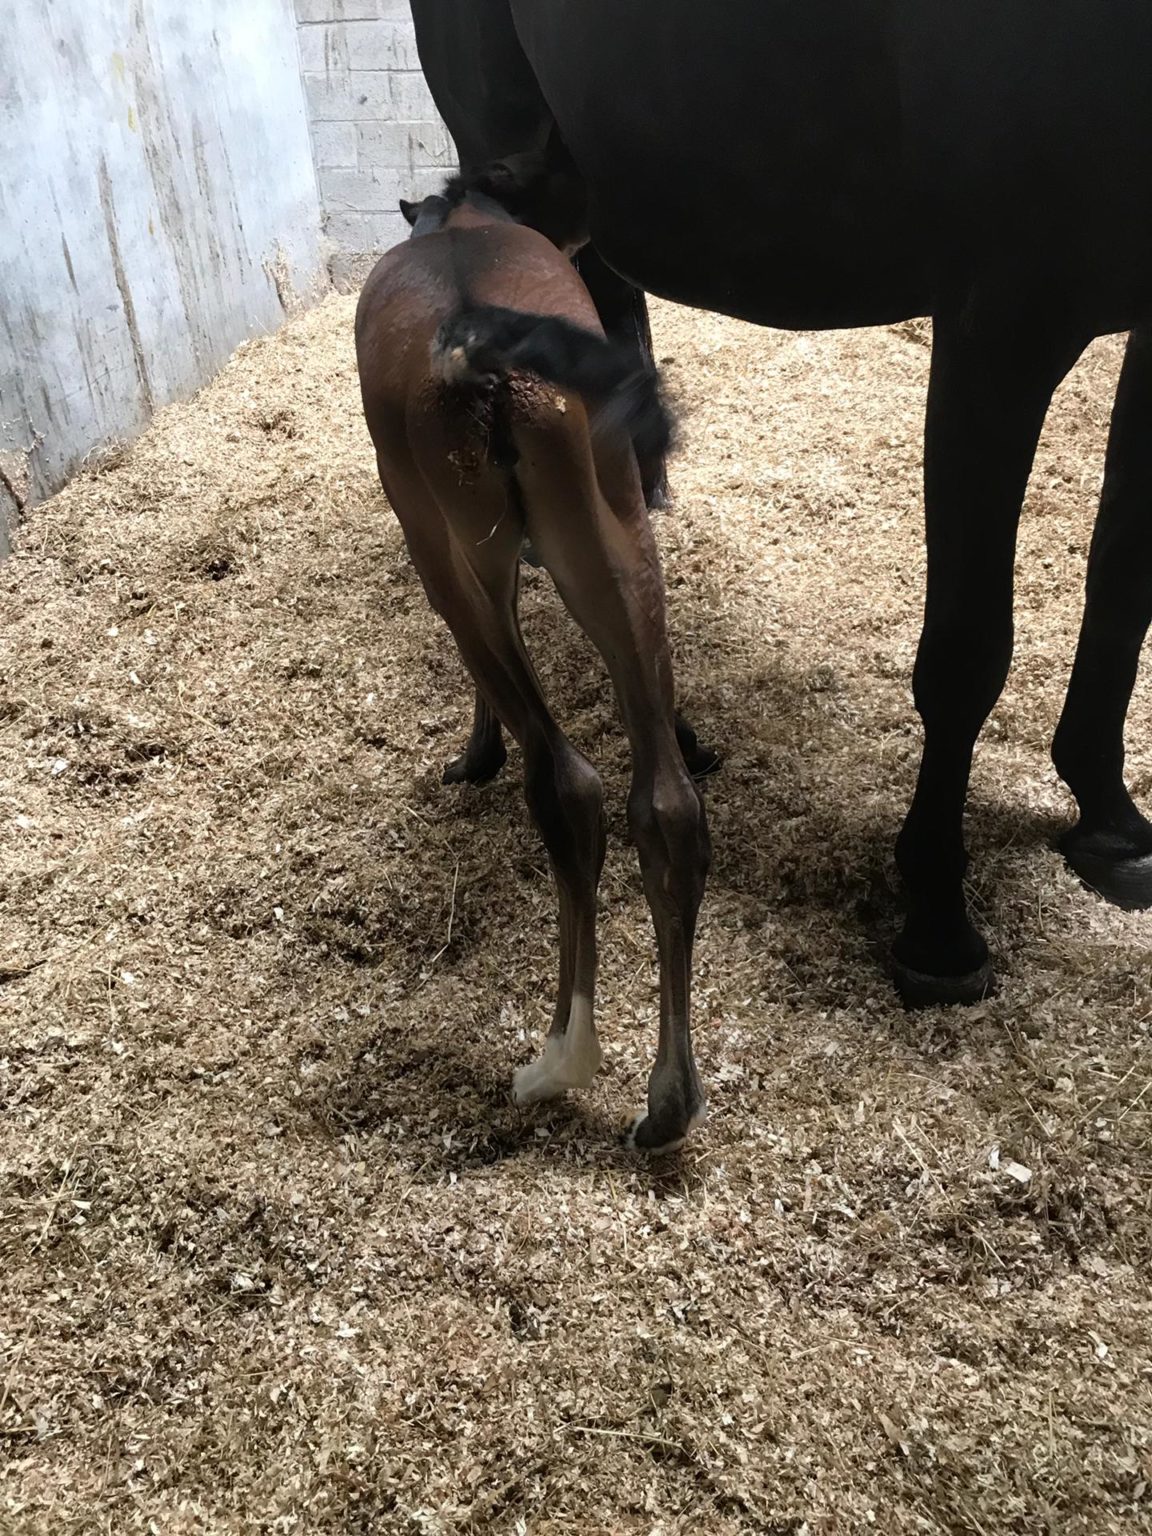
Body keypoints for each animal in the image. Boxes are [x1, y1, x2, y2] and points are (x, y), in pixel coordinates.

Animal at [355, 167, 714, 1150]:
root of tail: (495, 368)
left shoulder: (448, 545)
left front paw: (474, 753)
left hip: (451, 553)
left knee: (567, 783)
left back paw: (559, 1057)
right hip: (612, 532)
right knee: (665, 804)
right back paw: (669, 1098)